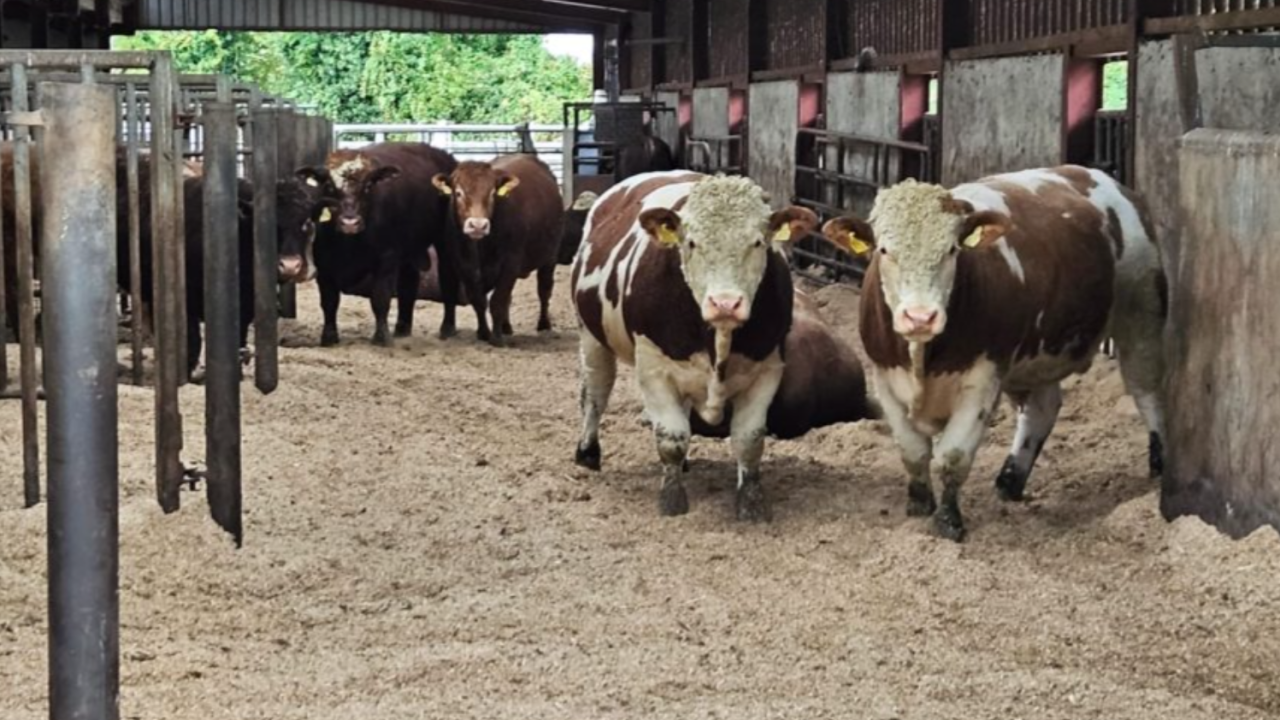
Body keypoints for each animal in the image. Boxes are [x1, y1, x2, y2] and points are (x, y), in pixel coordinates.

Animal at [297, 142, 457, 347]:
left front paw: (381, 337)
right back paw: (402, 328)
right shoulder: (323, 264)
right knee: (409, 283)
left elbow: (380, 298)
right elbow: (329, 301)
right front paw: (329, 337)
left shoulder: (386, 259)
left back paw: (448, 328)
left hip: (444, 243)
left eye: (368, 186)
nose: (350, 222)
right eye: (329, 186)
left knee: (448, 277)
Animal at [431, 154, 563, 346]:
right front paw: (484, 332)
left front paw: (497, 338)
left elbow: (497, 301)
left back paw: (544, 325)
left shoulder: (510, 264)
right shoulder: (464, 266)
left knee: (544, 290)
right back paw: (506, 327)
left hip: (550, 257)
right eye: (458, 193)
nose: (478, 225)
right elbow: (479, 300)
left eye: (492, 193)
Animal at [571, 170, 819, 521]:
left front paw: (751, 501)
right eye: (691, 242)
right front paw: (672, 499)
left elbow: (749, 439)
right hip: (592, 337)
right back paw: (588, 452)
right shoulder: (654, 367)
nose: (725, 303)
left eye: (758, 242)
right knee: (595, 394)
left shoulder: (767, 368)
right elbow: (671, 437)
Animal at [821, 166, 1167, 541]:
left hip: (1142, 315)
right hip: (1034, 356)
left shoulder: (982, 381)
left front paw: (948, 521)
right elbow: (913, 451)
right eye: (884, 250)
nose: (920, 317)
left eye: (952, 250)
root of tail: (1099, 176)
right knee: (1041, 409)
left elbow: (953, 455)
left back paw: (1159, 468)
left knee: (1149, 394)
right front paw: (918, 507)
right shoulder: (884, 376)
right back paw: (1010, 480)